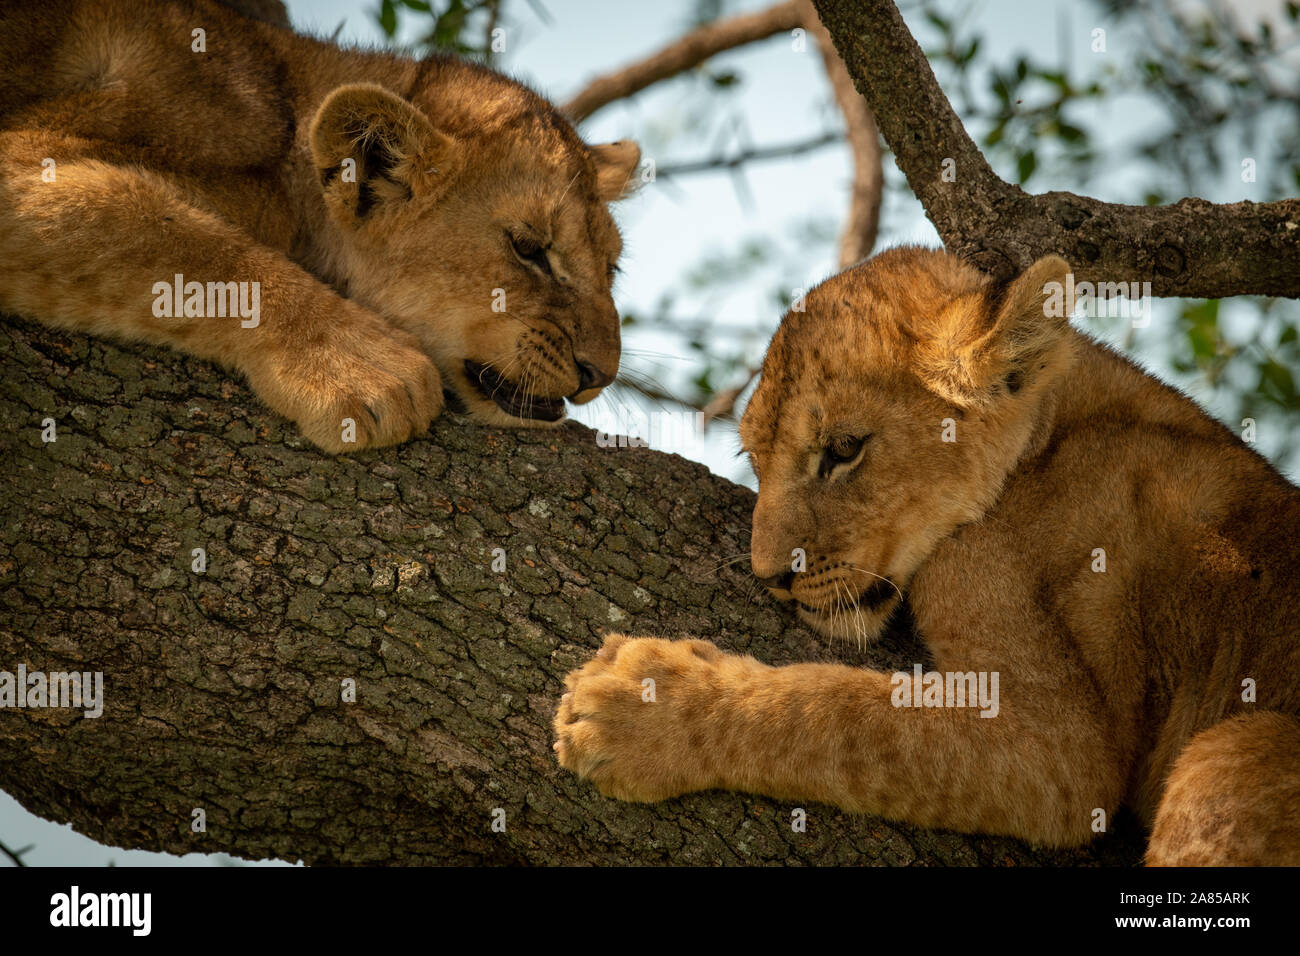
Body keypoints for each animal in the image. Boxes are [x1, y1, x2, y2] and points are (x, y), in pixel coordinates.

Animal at [0, 0, 640, 452]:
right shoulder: (42, 149)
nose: (600, 375)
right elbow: (190, 245)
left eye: (611, 267)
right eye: (528, 249)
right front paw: (363, 368)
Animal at [555, 246, 1300, 866]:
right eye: (752, 458)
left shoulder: (1060, 750)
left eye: (844, 449)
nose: (772, 578)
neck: (1048, 437)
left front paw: (644, 704)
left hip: (1232, 753)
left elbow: (837, 715)